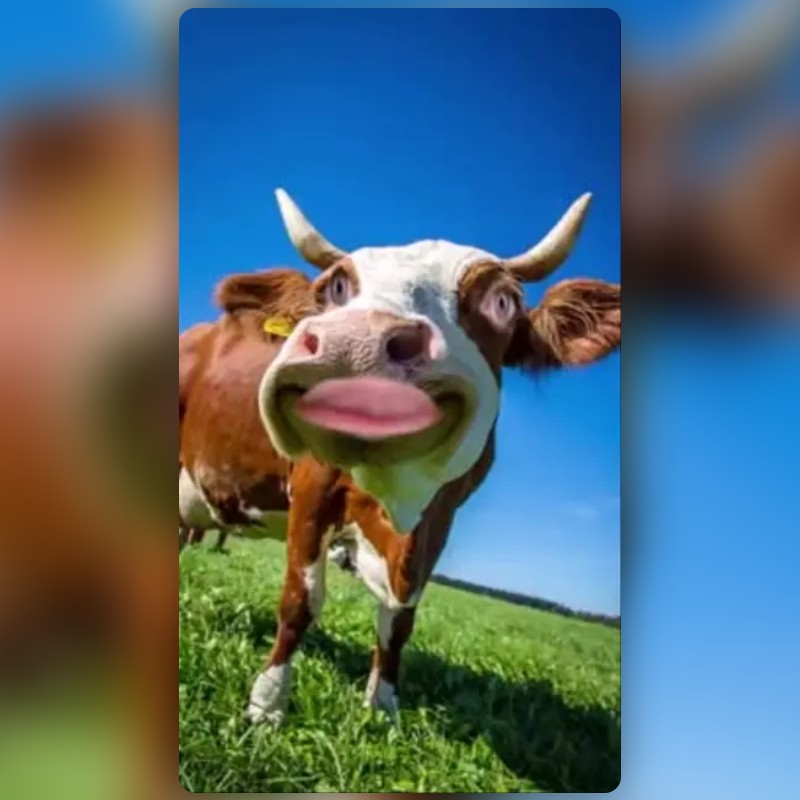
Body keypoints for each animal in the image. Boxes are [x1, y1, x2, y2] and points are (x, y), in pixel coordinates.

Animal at [216, 188, 620, 724]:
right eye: (336, 287)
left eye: (503, 301)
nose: (356, 342)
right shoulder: (312, 487)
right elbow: (301, 600)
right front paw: (266, 704)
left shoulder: (440, 518)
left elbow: (399, 621)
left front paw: (382, 706)